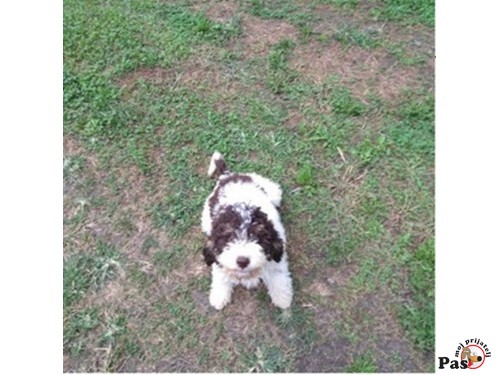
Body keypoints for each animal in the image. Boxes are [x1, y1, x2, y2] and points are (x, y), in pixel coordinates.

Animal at [200, 151, 292, 310]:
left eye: (256, 237)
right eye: (228, 238)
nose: (242, 261)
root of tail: (228, 175)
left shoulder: (276, 254)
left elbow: (278, 274)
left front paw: (282, 298)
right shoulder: (219, 253)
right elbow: (220, 273)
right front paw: (219, 296)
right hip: (206, 216)